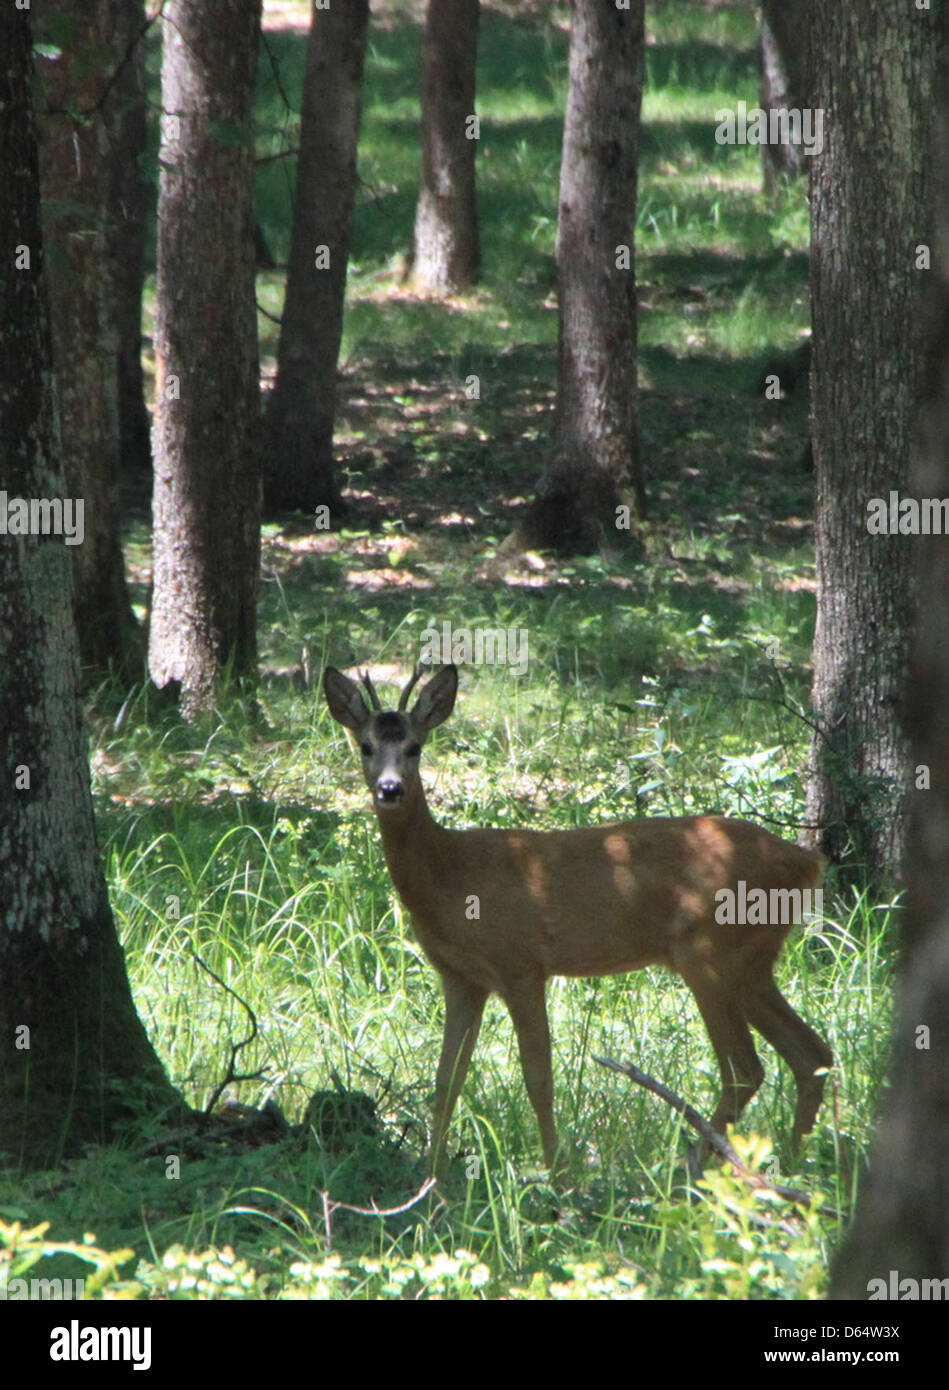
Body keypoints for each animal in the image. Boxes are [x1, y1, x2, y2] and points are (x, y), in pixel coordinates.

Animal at [323, 662, 833, 1182]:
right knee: (810, 1052)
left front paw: (556, 1175)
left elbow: (538, 1077)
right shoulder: (461, 977)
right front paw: (431, 1177)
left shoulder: (520, 964)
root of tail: (804, 861)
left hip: (709, 953)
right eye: (364, 745)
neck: (451, 876)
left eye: (415, 747)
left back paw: (695, 1170)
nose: (390, 789)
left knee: (745, 1068)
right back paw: (790, 1165)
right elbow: (447, 1080)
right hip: (751, 960)